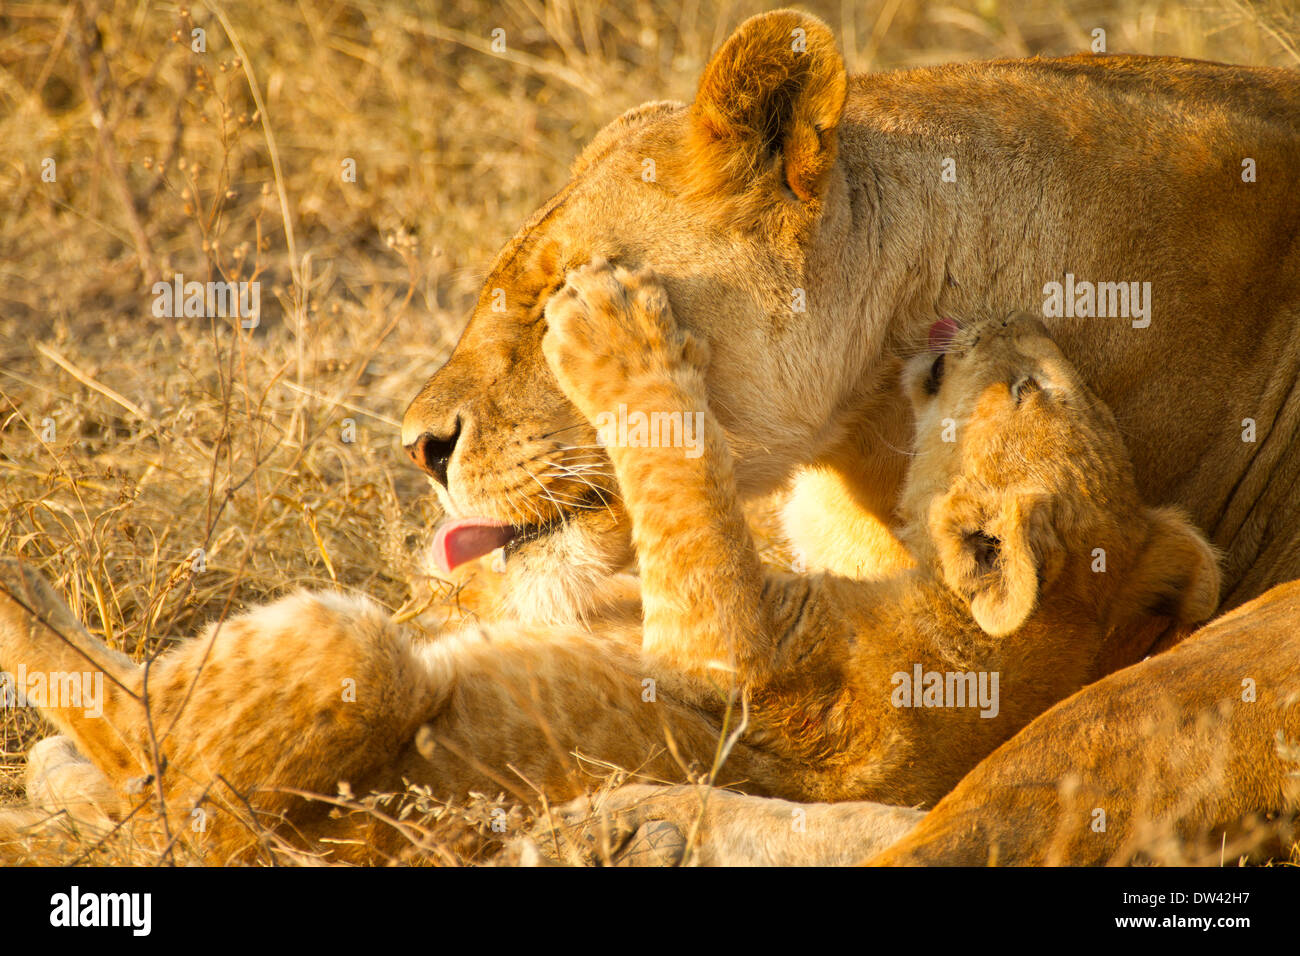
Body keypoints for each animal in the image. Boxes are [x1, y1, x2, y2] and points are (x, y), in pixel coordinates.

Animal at [0, 289, 1219, 863]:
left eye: (1026, 391)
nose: (1009, 313)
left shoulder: (758, 652)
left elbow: (692, 500)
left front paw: (617, 333)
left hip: (340, 667)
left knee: (137, 726)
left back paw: (20, 588)